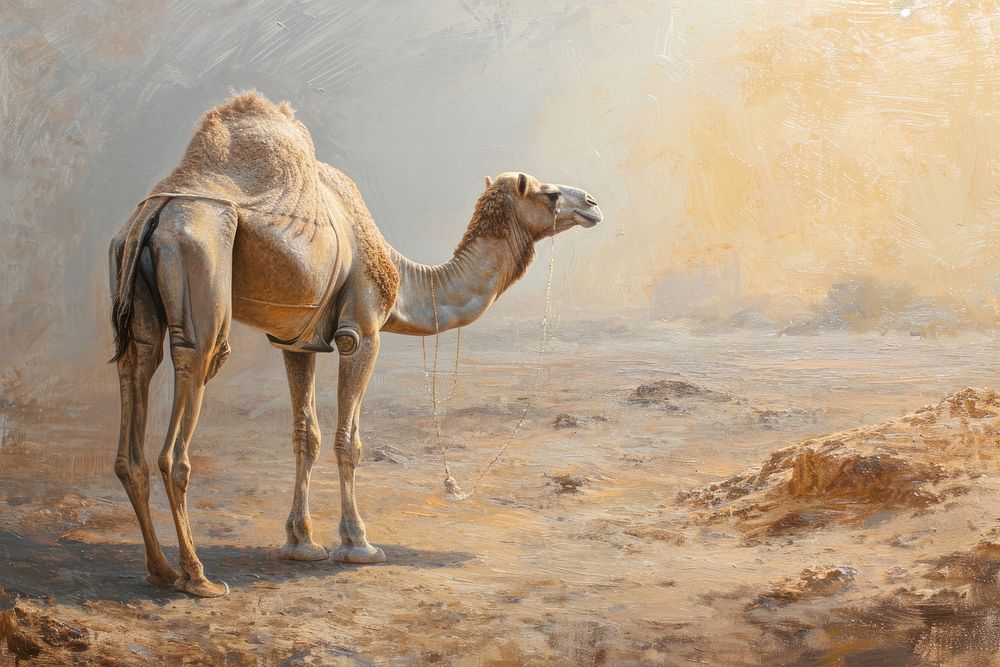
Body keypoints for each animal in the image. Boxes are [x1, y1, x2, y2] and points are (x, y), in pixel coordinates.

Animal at [108, 92, 602, 597]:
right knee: (186, 398)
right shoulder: (360, 333)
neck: (404, 278)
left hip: (130, 273)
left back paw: (159, 570)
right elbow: (349, 441)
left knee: (136, 379)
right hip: (200, 261)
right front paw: (358, 545)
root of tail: (155, 213)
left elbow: (305, 436)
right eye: (549, 193)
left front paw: (301, 544)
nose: (592, 202)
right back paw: (196, 577)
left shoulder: (296, 342)